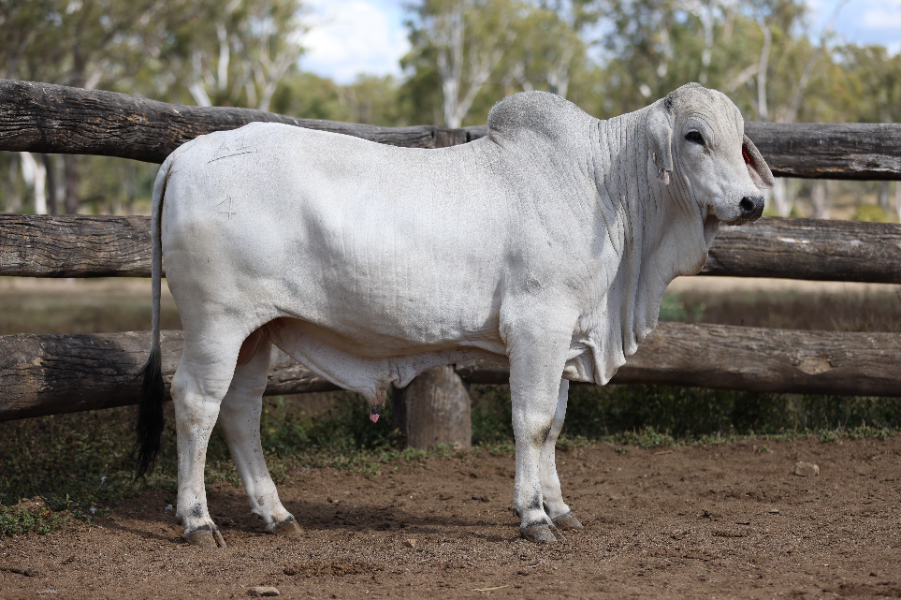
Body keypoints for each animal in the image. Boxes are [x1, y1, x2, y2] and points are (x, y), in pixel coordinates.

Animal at [136, 82, 774, 547]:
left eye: (740, 138)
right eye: (694, 135)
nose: (752, 201)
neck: (602, 185)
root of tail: (186, 152)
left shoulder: (565, 337)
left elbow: (555, 425)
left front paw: (560, 507)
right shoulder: (537, 326)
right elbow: (532, 422)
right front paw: (533, 517)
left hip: (258, 331)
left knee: (241, 411)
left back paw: (276, 514)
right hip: (217, 322)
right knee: (196, 402)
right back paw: (197, 520)